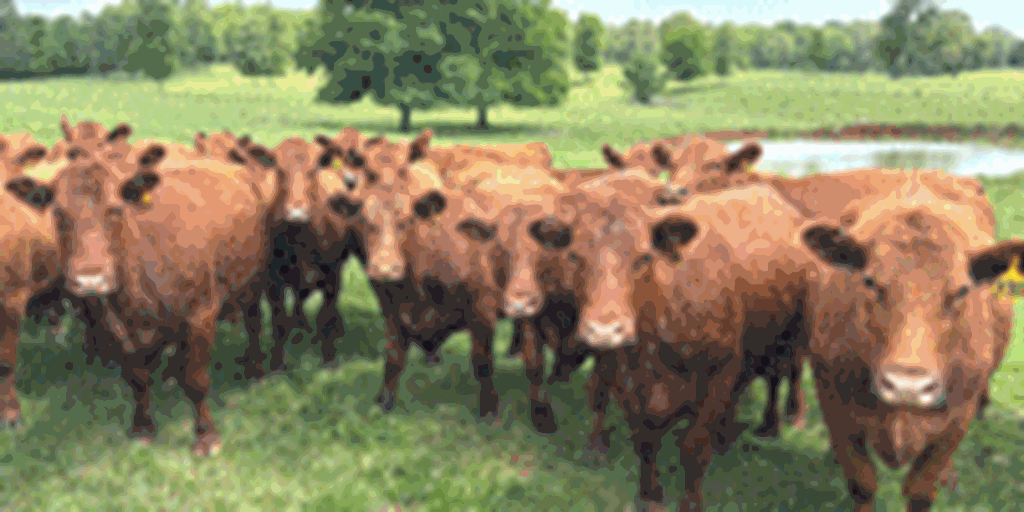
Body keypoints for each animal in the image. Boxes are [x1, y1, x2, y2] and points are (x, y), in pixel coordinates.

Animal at [4, 141, 279, 455]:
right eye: (60, 214)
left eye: (114, 210)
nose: (90, 279)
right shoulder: (116, 324)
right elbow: (136, 377)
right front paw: (143, 428)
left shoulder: (201, 314)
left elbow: (196, 380)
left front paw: (206, 437)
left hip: (253, 280)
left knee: (253, 321)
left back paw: (255, 368)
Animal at [319, 131, 509, 420]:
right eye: (364, 220)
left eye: (406, 220)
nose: (385, 268)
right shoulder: (391, 311)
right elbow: (393, 359)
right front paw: (384, 403)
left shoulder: (483, 311)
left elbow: (483, 364)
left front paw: (490, 412)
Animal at [554, 169, 822, 510]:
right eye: (575, 256)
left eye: (643, 258)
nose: (604, 331)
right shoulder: (624, 379)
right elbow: (644, 441)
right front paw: (649, 497)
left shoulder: (719, 374)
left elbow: (694, 448)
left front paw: (692, 502)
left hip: (792, 334)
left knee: (783, 375)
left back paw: (776, 423)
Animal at [800, 177, 1014, 512]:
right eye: (870, 282)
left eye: (961, 291)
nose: (907, 386)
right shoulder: (835, 409)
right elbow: (862, 484)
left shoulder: (956, 421)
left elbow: (921, 492)